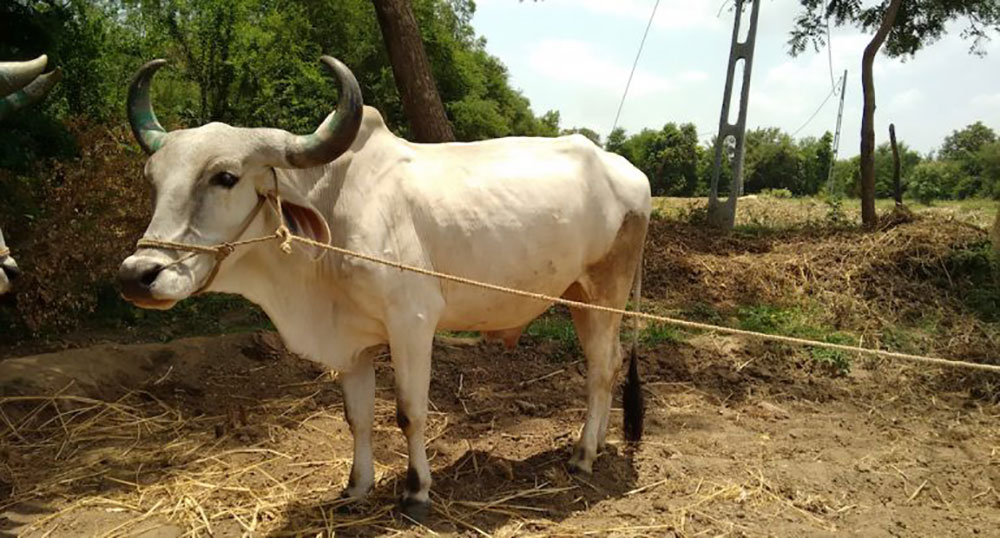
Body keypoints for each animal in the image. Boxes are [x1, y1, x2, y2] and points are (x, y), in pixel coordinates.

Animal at [117, 56, 651, 520]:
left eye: (225, 177)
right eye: (153, 180)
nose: (137, 275)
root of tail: (628, 172)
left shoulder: (412, 325)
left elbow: (409, 412)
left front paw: (416, 492)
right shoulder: (353, 344)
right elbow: (357, 416)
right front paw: (357, 487)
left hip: (605, 292)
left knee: (602, 368)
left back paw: (584, 455)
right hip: (578, 295)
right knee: (605, 365)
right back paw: (595, 444)